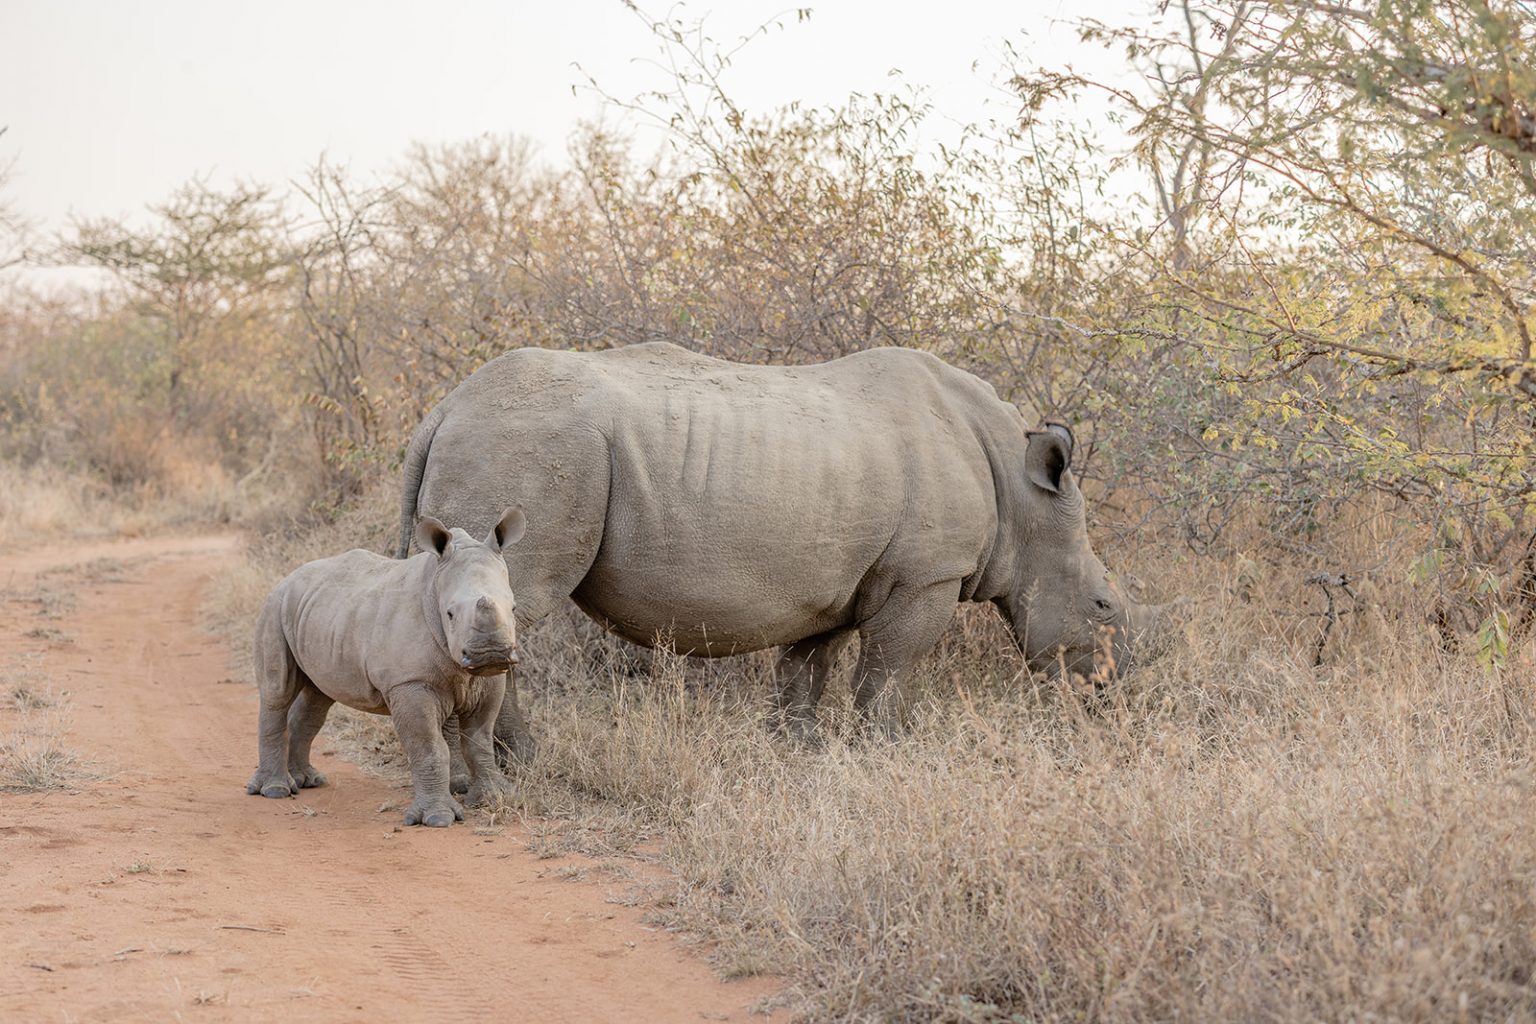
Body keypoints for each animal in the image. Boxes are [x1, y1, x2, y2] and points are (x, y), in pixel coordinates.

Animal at [247, 508, 526, 827]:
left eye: (514, 608)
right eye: (450, 614)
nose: (490, 653)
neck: (435, 587)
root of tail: (286, 578)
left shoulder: (490, 679)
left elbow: (479, 741)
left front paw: (493, 798)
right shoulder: (409, 682)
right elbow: (429, 748)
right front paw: (438, 818)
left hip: (317, 613)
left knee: (318, 698)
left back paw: (307, 780)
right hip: (274, 608)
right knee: (277, 694)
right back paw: (276, 790)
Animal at [397, 342, 1154, 747]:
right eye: (1102, 605)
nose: (1111, 689)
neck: (1022, 497)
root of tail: (443, 408)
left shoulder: (836, 580)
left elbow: (806, 669)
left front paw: (801, 747)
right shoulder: (927, 575)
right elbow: (887, 673)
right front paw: (884, 749)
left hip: (504, 440)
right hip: (528, 445)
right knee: (507, 603)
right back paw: (525, 759)